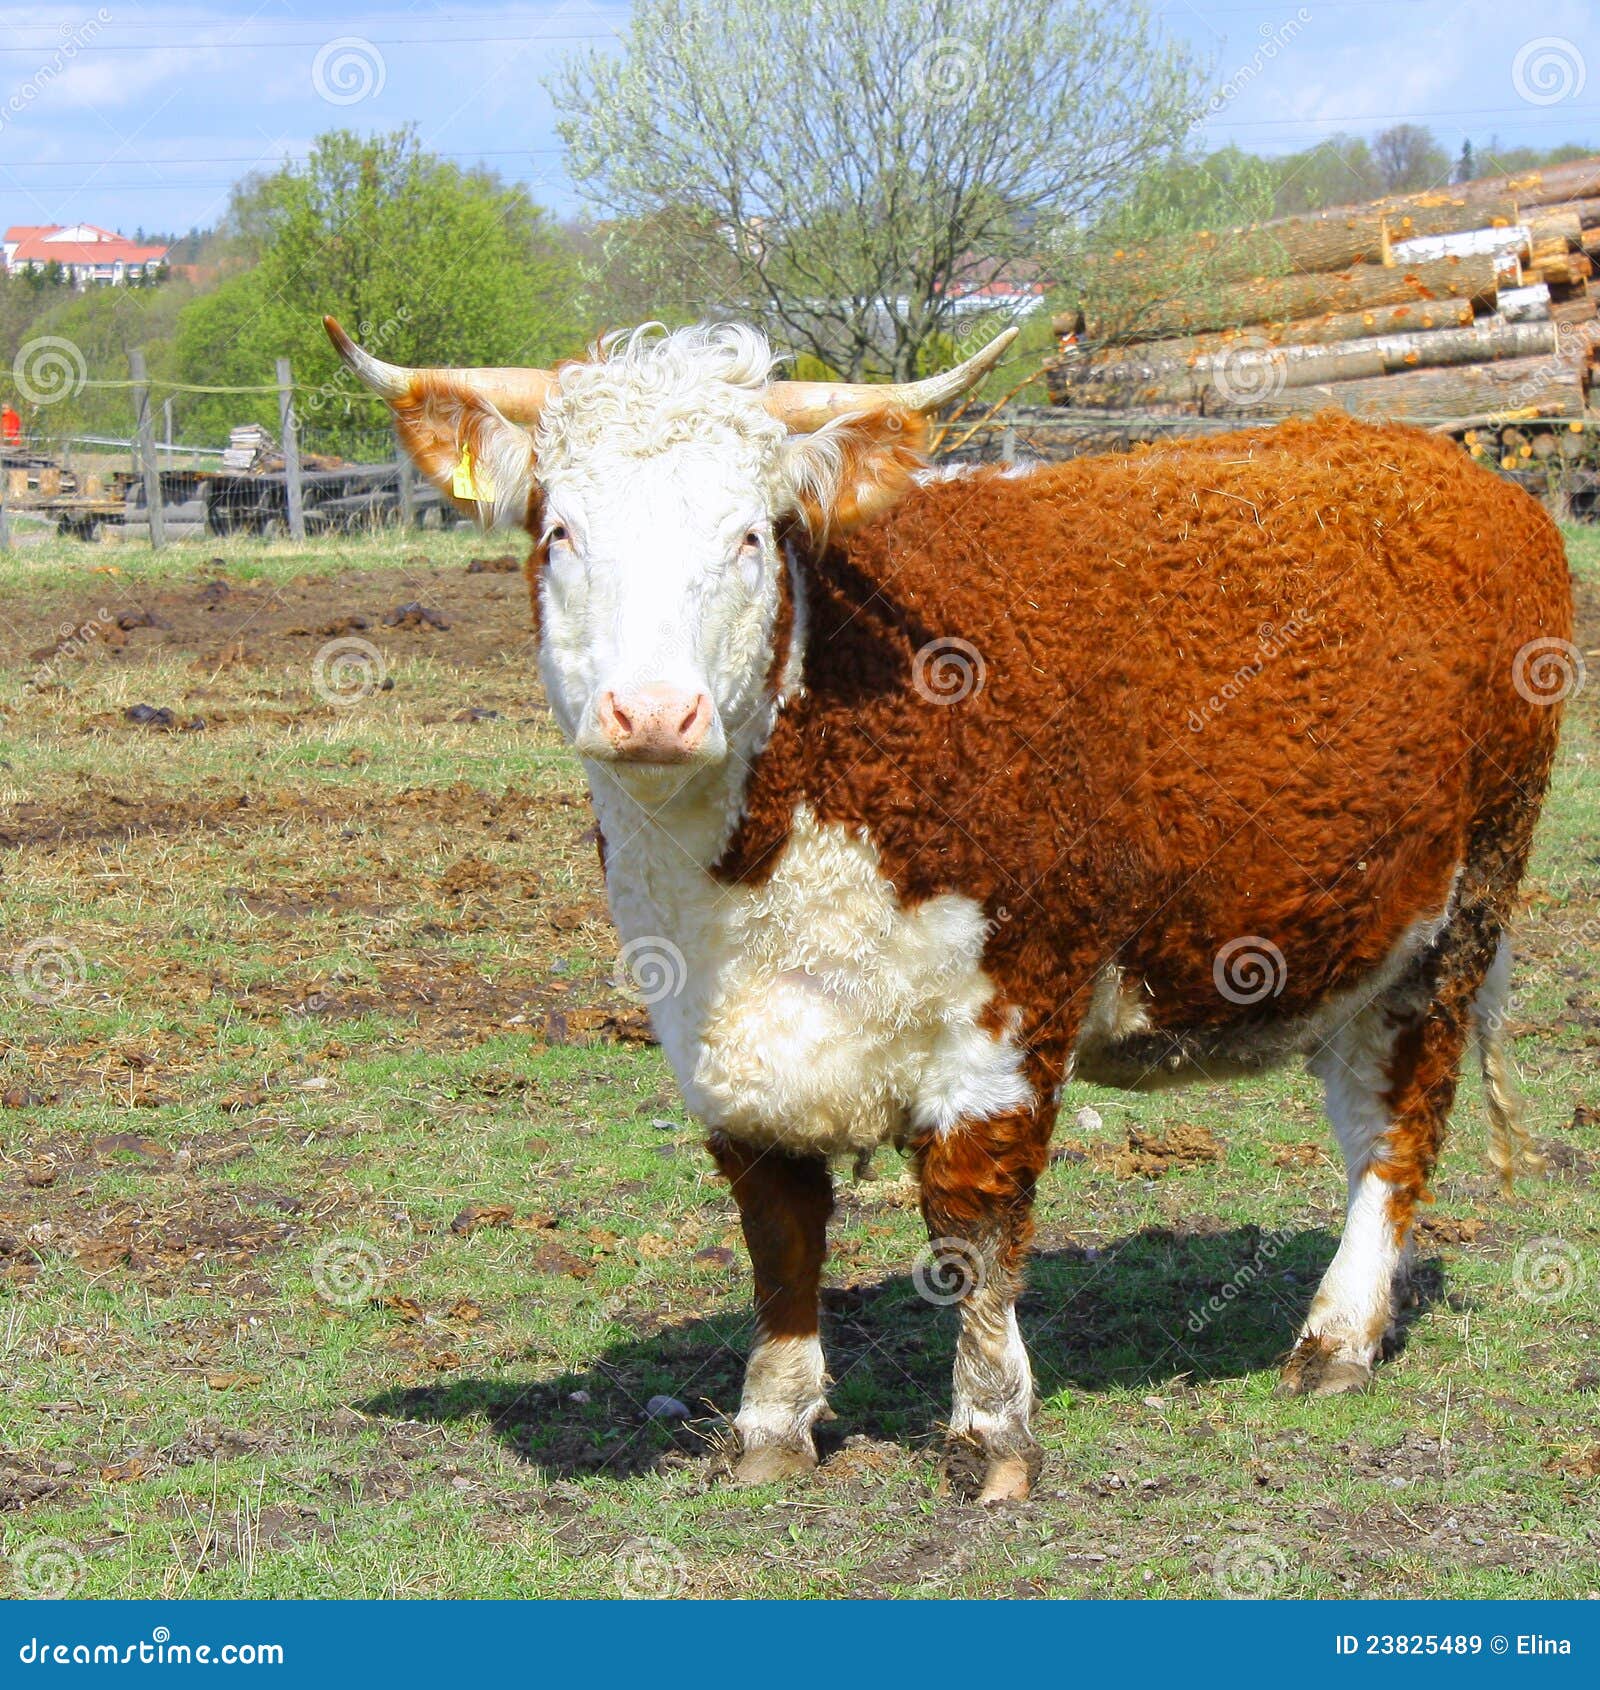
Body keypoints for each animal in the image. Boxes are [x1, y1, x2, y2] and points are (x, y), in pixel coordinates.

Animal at [327, 315, 1574, 1504]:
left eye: (748, 535)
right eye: (560, 533)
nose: (652, 711)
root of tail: (1444, 464)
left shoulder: (1011, 1006)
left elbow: (973, 1225)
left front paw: (991, 1433)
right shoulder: (709, 1035)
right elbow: (778, 1231)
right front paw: (772, 1425)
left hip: (1459, 917)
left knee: (1399, 1125)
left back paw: (1335, 1339)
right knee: (1365, 1113)